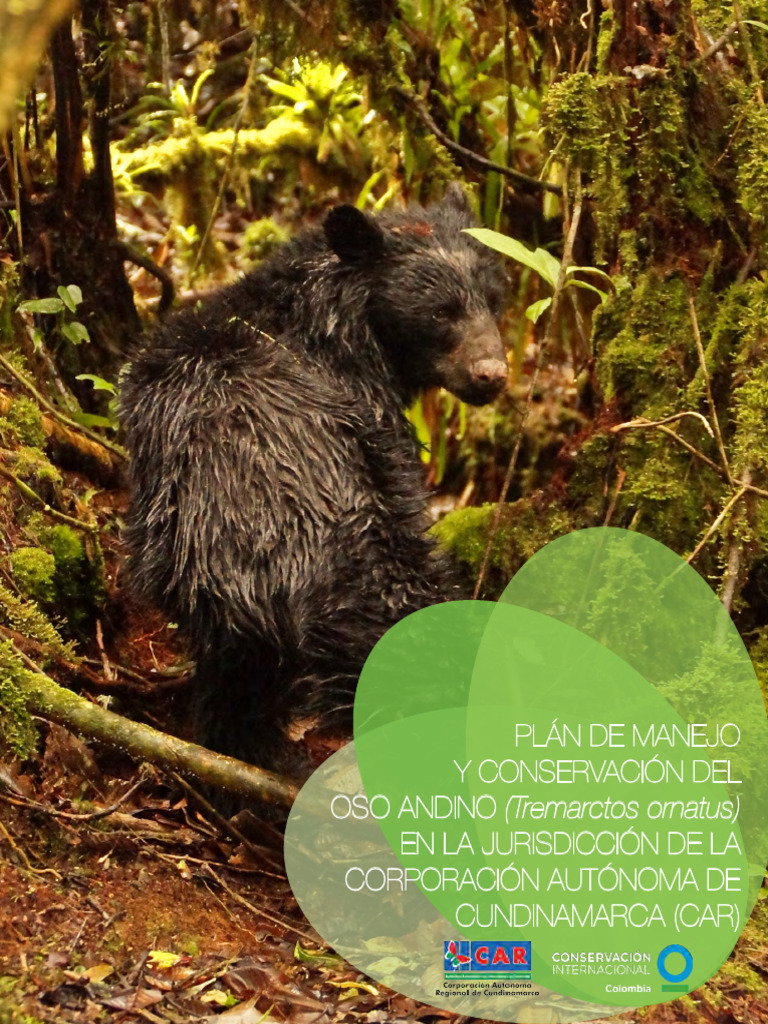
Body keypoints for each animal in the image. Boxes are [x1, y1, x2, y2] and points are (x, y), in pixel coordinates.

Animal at [119, 185, 507, 777]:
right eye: (441, 311)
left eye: (494, 298)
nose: (492, 375)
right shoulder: (375, 427)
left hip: (186, 558)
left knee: (235, 669)